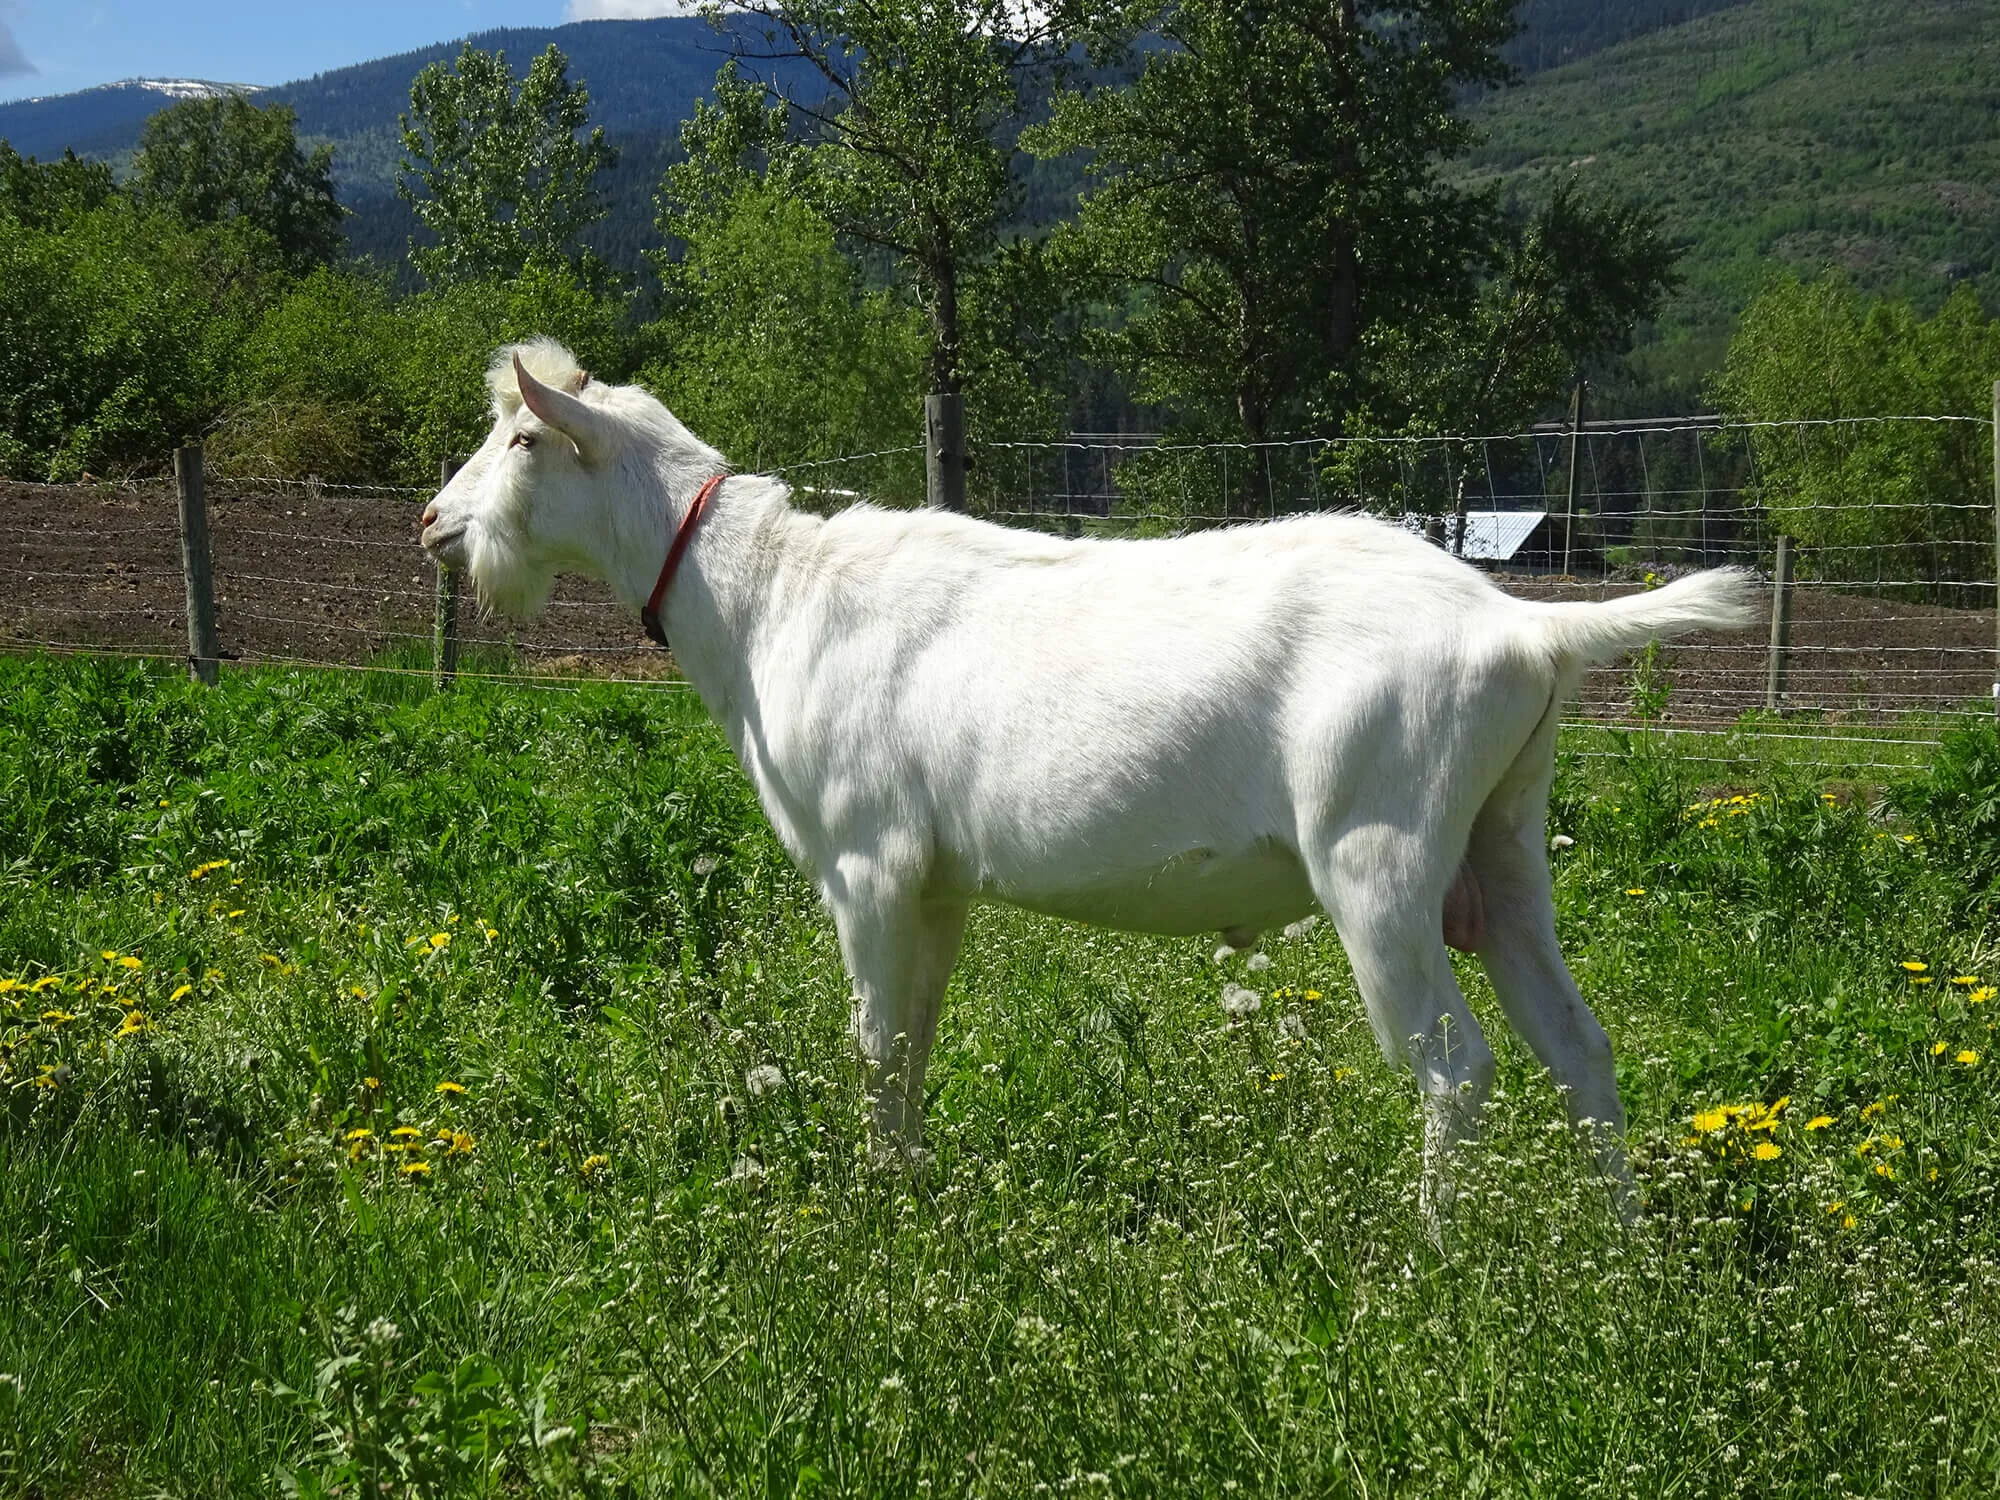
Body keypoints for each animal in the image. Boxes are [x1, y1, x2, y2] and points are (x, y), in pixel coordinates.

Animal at [420, 339, 1758, 1219]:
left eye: (524, 438)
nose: (433, 523)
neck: (763, 599)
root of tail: (1523, 629)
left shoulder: (864, 862)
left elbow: (870, 1043)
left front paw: (867, 1208)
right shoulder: (933, 884)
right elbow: (913, 1040)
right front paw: (909, 1184)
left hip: (1377, 856)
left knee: (1455, 1065)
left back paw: (1435, 1257)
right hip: (1502, 840)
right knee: (1578, 1047)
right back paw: (1612, 1250)